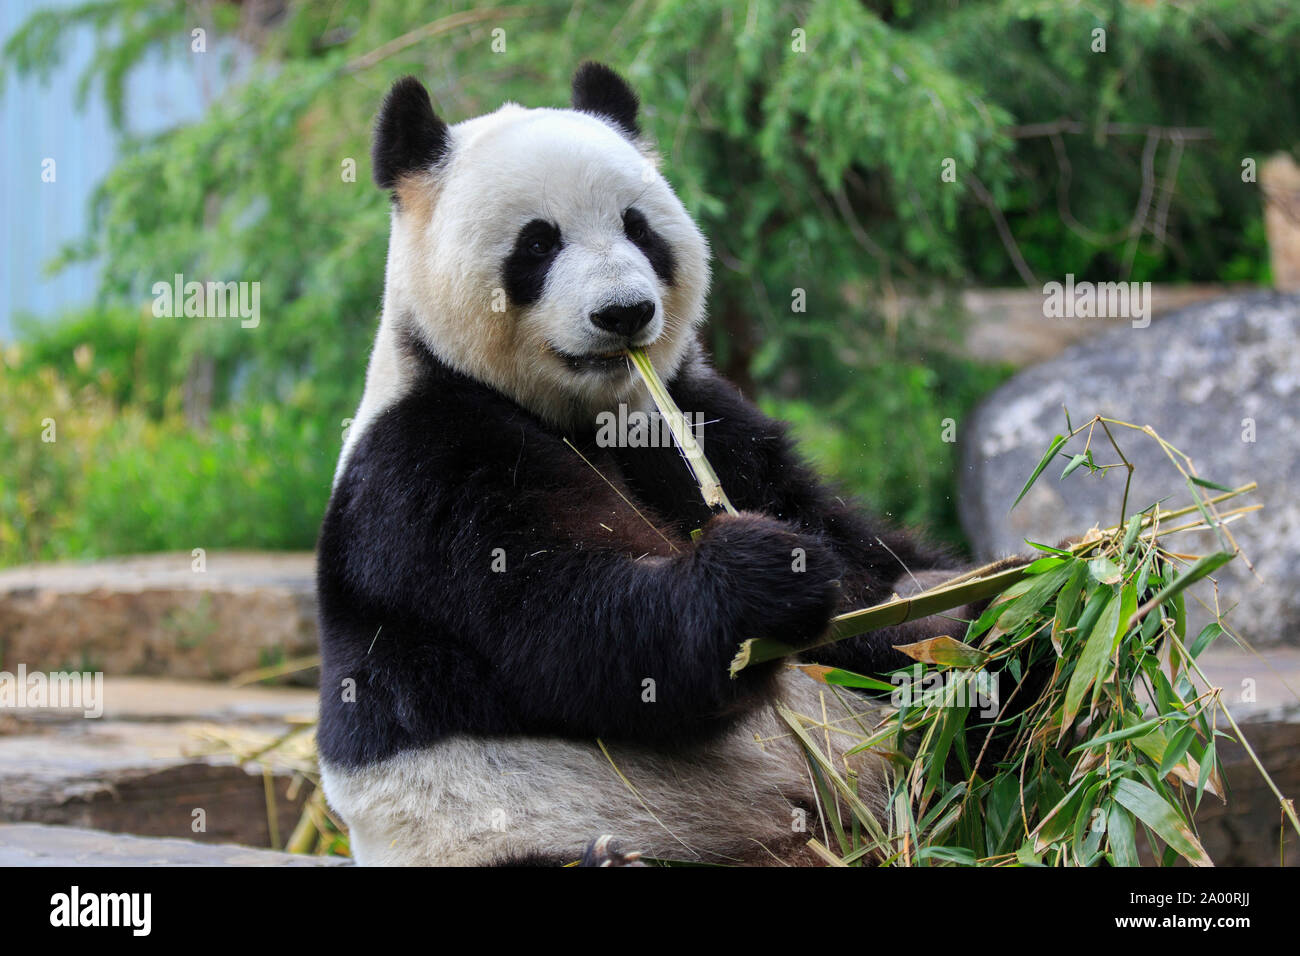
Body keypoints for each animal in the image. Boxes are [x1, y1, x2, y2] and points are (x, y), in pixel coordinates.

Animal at [317, 63, 1000, 866]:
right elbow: (571, 634)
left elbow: (854, 559)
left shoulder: (687, 413)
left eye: (638, 227)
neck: (582, 413)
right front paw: (762, 575)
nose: (624, 313)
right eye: (537, 244)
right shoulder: (426, 466)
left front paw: (966, 593)